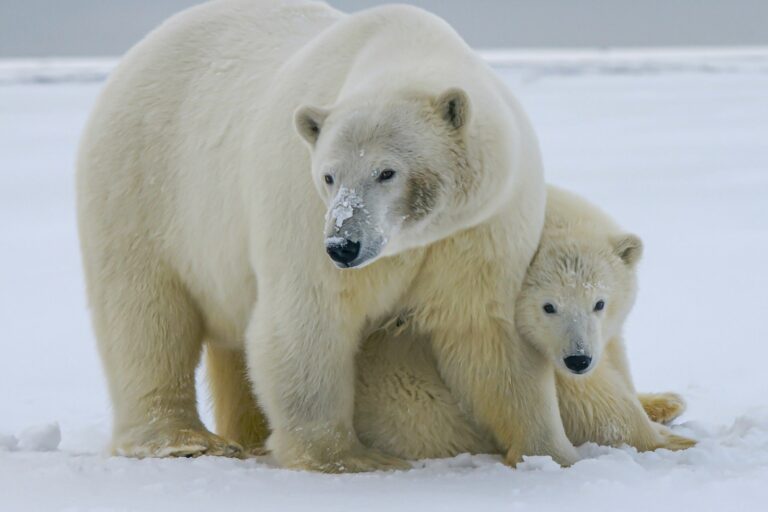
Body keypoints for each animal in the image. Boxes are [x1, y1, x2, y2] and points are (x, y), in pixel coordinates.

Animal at [76, 0, 578, 472]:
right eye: (329, 176)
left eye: (387, 171)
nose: (343, 245)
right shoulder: (302, 211)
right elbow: (310, 319)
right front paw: (351, 458)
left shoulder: (480, 226)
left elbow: (488, 332)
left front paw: (550, 453)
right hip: (142, 182)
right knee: (144, 312)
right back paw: (183, 441)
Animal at [352, 186, 697, 459]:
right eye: (548, 307)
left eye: (599, 303)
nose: (579, 359)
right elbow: (584, 398)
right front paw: (674, 442)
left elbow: (614, 358)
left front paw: (664, 403)